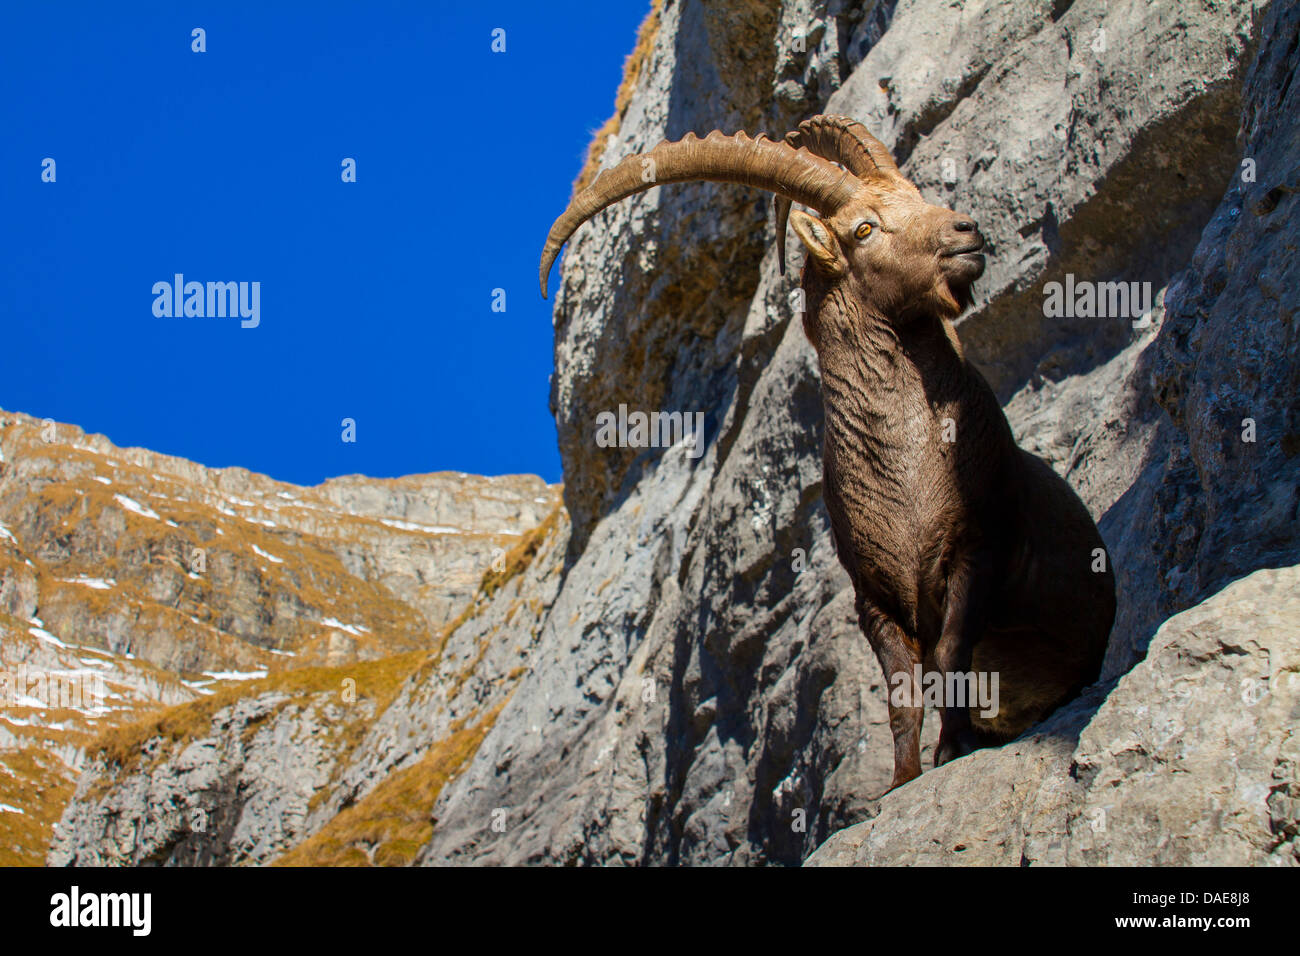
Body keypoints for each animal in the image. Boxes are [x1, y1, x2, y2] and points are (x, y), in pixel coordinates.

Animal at [540, 115, 1115, 792]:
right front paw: (901, 781)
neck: (911, 472)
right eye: (864, 227)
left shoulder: (976, 550)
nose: (965, 231)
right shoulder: (875, 597)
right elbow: (901, 696)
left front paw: (955, 752)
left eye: (918, 195)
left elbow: (953, 658)